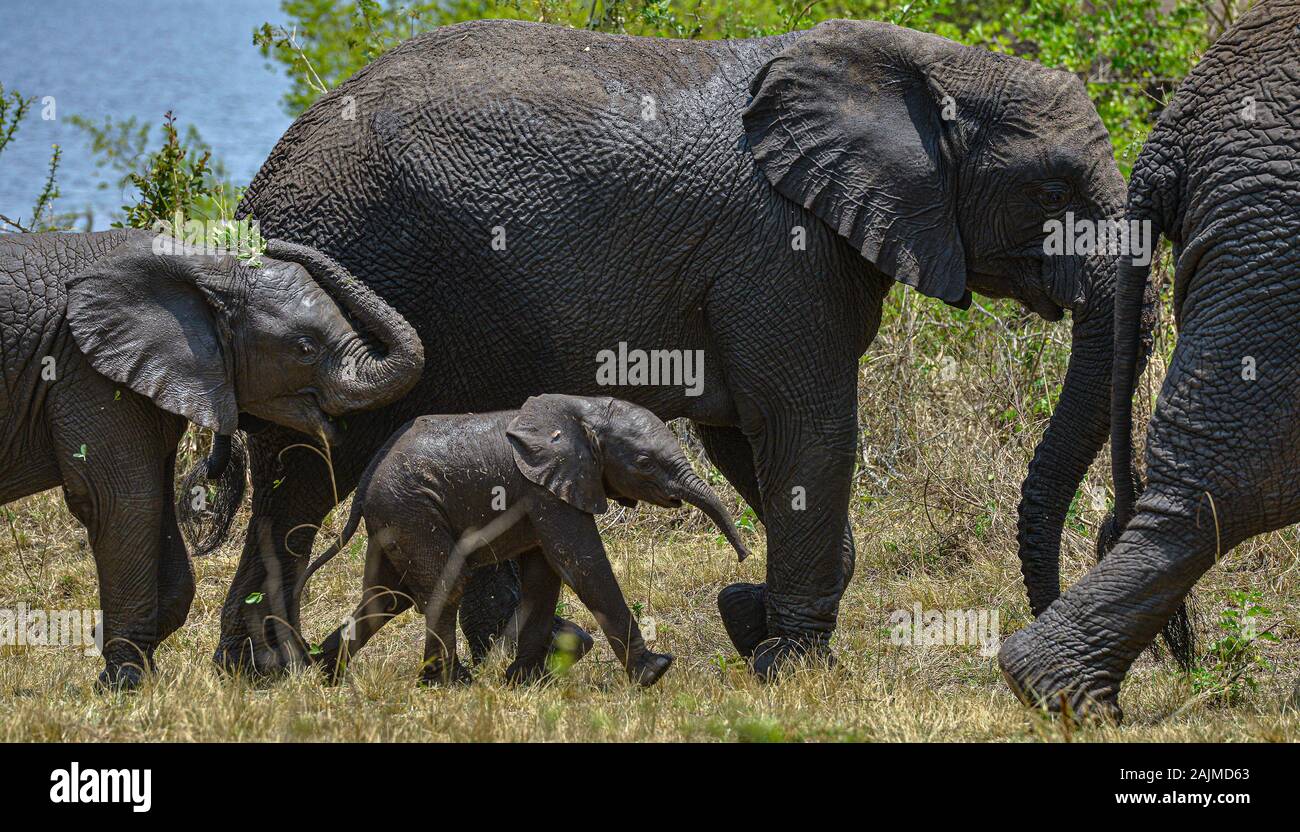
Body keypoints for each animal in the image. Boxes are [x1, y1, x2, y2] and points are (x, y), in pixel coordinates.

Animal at [0, 229, 423, 687]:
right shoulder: (82, 369)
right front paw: (123, 685)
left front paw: (129, 658)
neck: (201, 266)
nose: (268, 241)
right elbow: (121, 502)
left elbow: (155, 503)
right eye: (304, 348)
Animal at [295, 394, 749, 687]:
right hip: (411, 508)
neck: (582, 411)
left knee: (388, 597)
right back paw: (449, 684)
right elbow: (581, 564)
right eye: (645, 463)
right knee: (444, 584)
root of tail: (369, 476)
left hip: (398, 517)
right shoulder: (546, 490)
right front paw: (655, 672)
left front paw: (525, 683)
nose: (745, 555)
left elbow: (545, 576)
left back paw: (327, 673)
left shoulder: (546, 491)